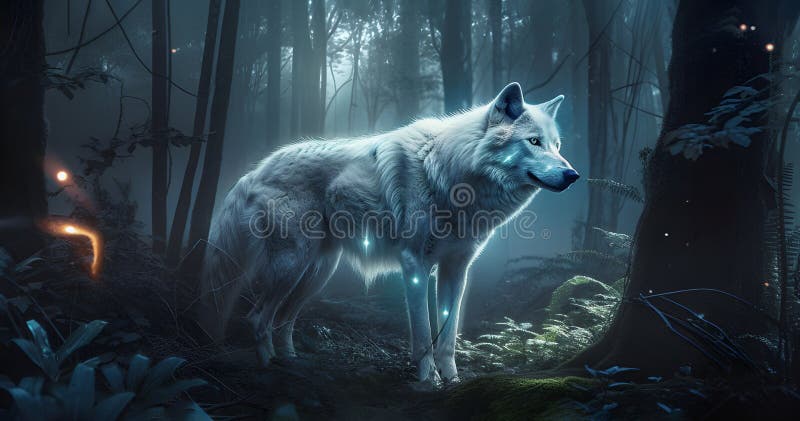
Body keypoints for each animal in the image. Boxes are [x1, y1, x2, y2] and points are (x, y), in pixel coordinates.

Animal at [199, 82, 578, 382]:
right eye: (534, 141)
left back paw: (291, 363)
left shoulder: (456, 269)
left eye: (557, 145)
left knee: (282, 321)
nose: (573, 175)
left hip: (317, 273)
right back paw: (268, 368)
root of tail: (255, 171)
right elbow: (423, 333)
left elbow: (448, 335)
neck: (448, 173)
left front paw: (453, 382)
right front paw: (428, 382)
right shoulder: (414, 265)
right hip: (292, 267)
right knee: (257, 318)